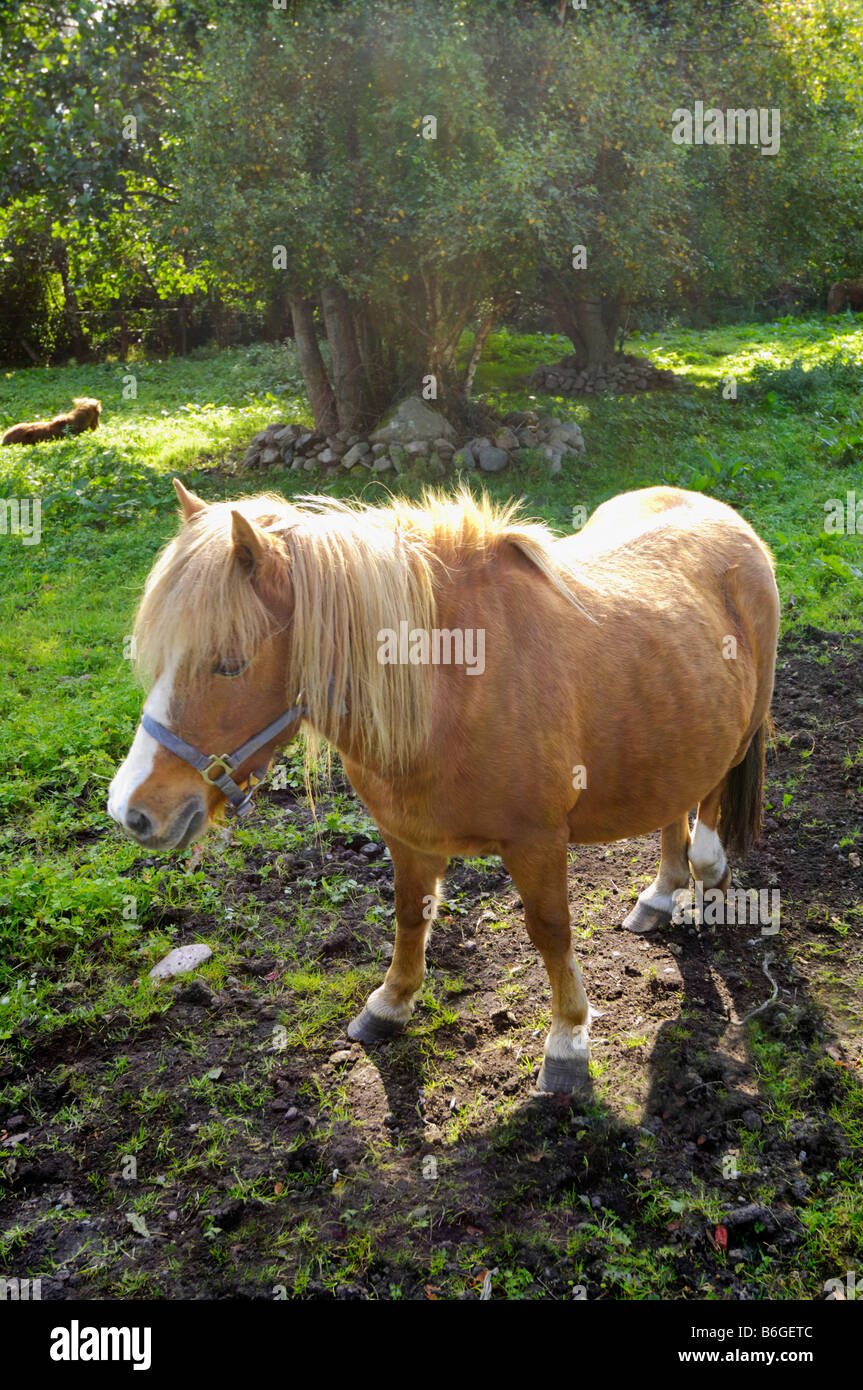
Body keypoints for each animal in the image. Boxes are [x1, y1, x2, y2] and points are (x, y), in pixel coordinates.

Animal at [108, 480, 779, 1093]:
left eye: (229, 663)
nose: (130, 811)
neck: (450, 687)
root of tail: (722, 515)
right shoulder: (406, 836)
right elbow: (410, 916)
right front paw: (390, 1003)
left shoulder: (537, 841)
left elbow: (550, 930)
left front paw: (567, 1038)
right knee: (673, 808)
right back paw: (662, 894)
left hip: (737, 734)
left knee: (708, 813)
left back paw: (701, 883)